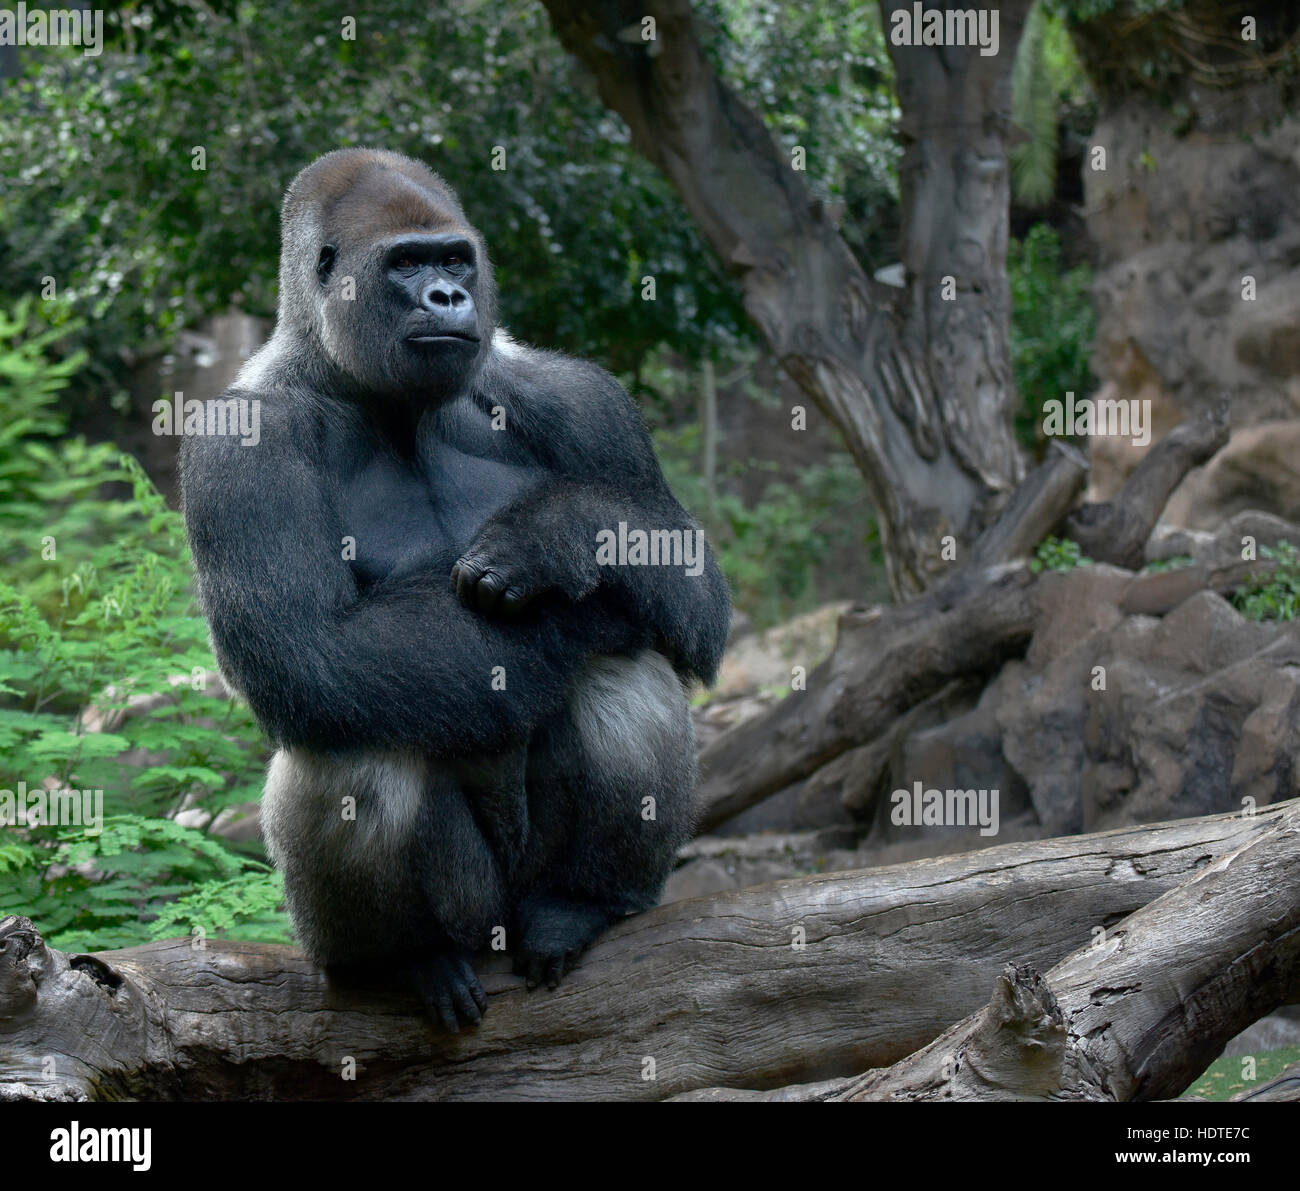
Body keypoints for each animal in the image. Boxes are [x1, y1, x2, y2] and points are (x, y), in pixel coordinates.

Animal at [179, 149, 730, 1031]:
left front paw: (559, 533)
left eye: (454, 259)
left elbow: (688, 588)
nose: (447, 296)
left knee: (623, 666)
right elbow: (309, 650)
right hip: (462, 914)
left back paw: (583, 901)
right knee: (356, 739)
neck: (345, 375)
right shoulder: (239, 447)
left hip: (526, 895)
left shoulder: (581, 397)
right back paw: (404, 957)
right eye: (406, 265)